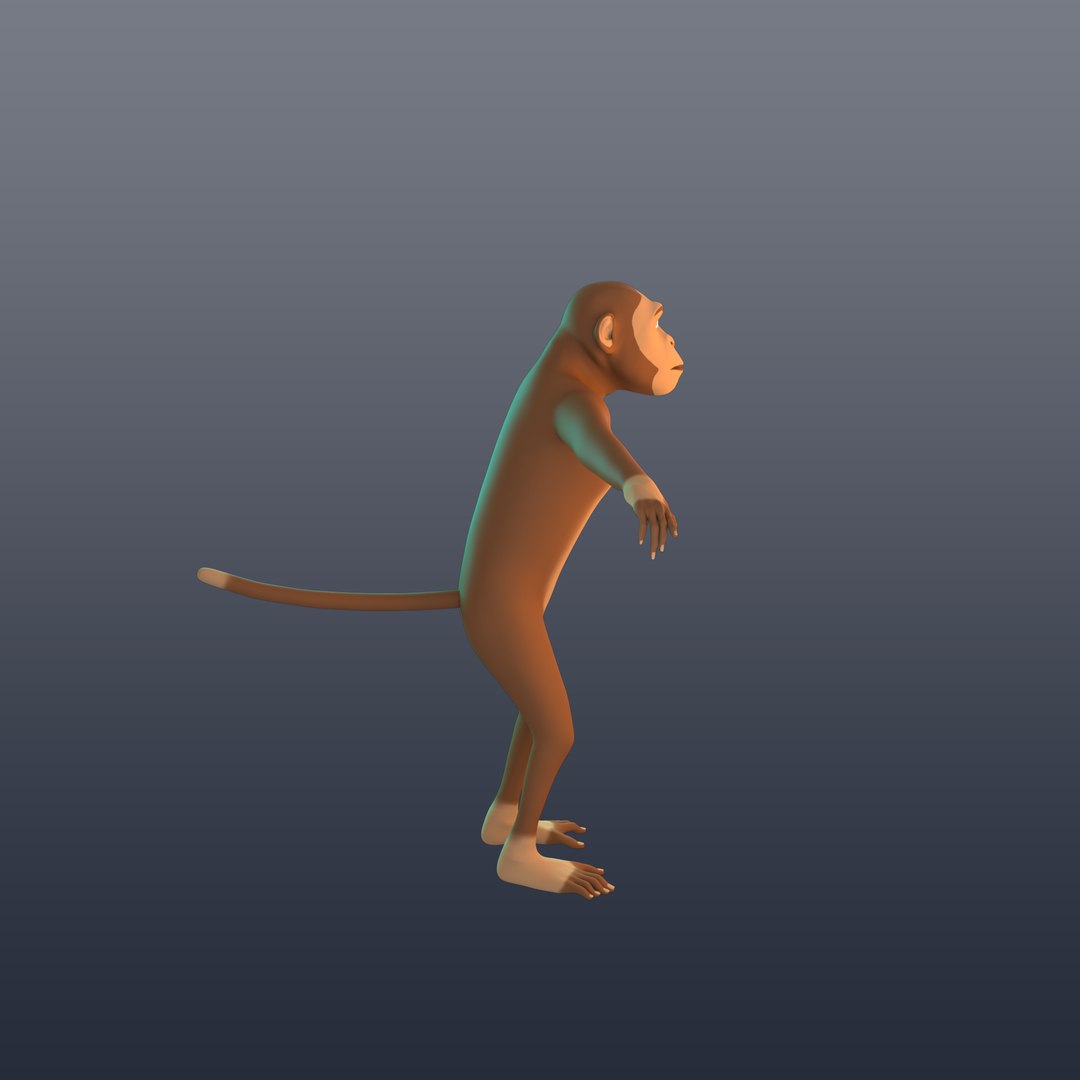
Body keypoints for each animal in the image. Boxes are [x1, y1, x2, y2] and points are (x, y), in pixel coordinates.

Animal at [197, 281, 684, 899]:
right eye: (656, 321)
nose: (674, 341)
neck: (570, 364)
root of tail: (466, 592)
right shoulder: (579, 411)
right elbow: (602, 447)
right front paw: (644, 492)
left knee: (530, 716)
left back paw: (507, 826)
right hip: (501, 625)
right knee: (554, 727)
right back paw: (522, 862)